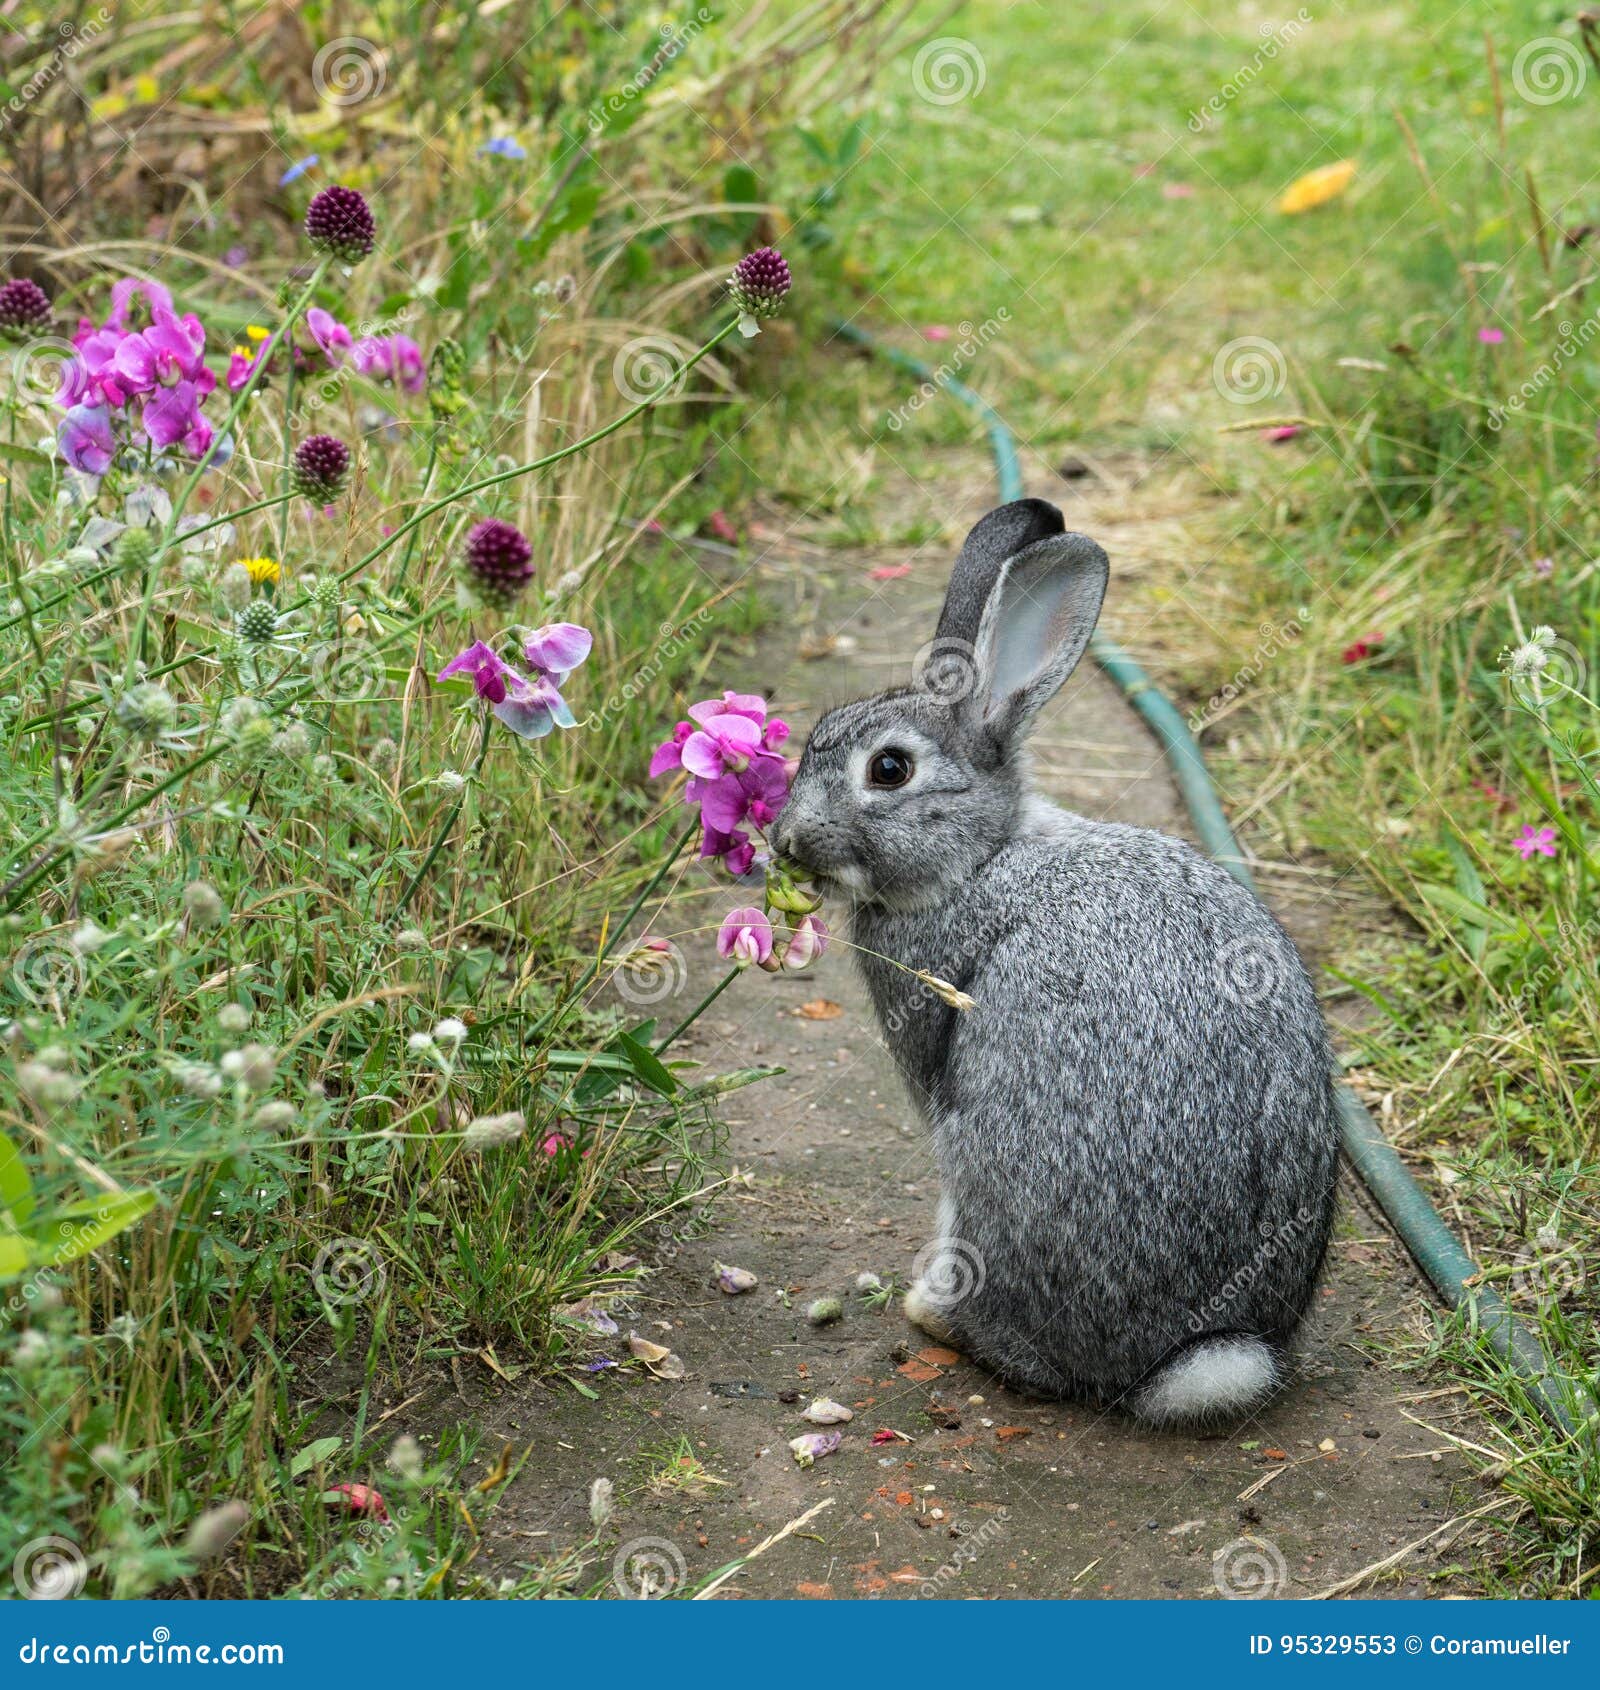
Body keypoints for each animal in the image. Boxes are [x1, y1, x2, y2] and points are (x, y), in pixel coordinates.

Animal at [770, 497, 1339, 1426]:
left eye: (889, 769)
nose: (785, 841)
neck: (983, 855)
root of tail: (1187, 1357)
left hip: (988, 1174)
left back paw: (934, 1312)